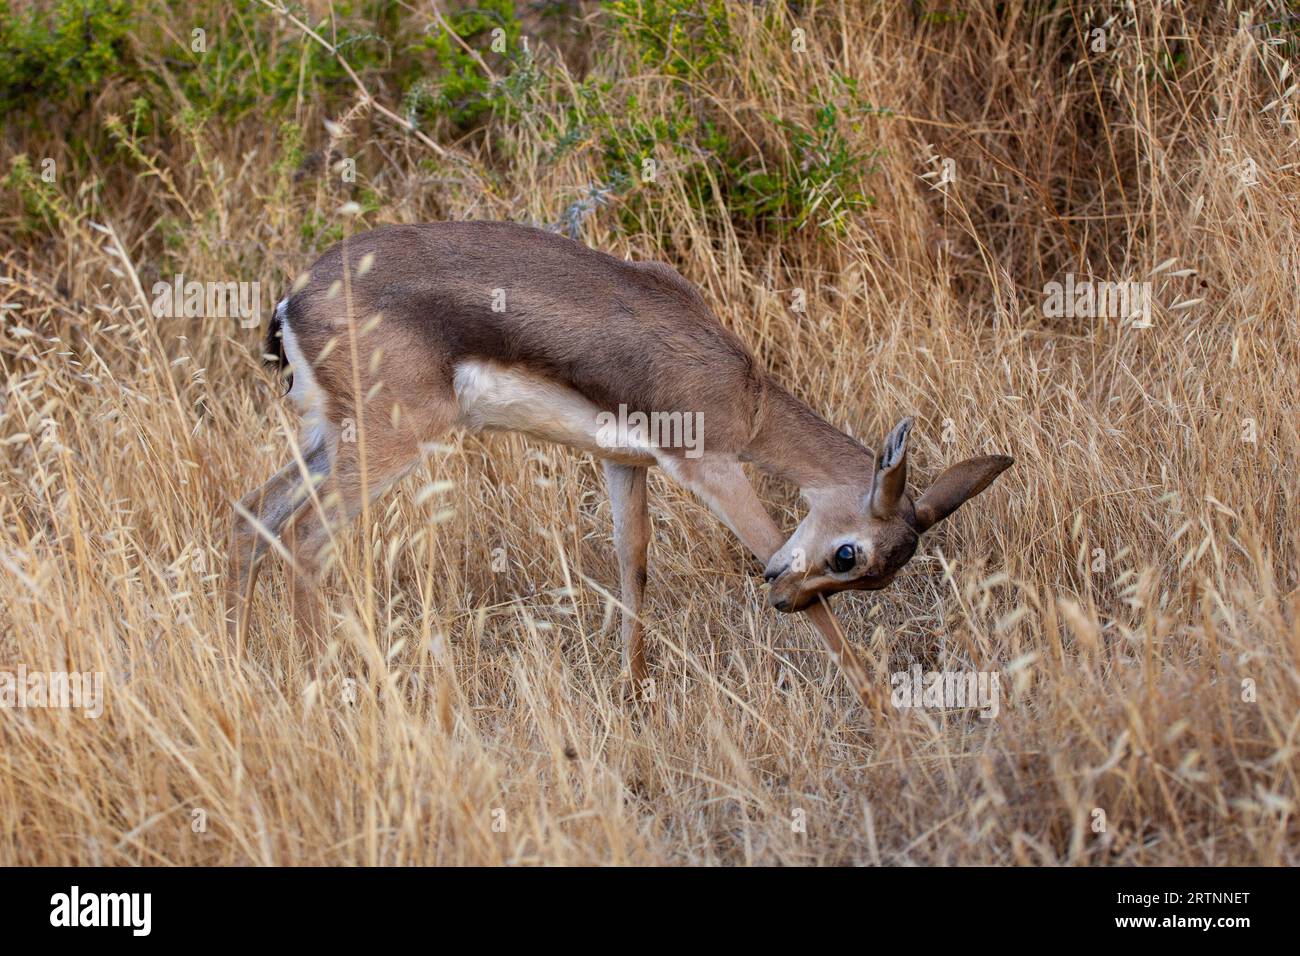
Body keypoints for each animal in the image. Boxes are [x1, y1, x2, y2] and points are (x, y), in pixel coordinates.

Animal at [226, 221, 1013, 701]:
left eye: (880, 576)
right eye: (851, 556)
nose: (780, 599)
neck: (746, 393)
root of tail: (294, 300)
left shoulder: (625, 464)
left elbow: (632, 563)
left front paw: (633, 688)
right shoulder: (709, 465)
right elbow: (760, 544)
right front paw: (877, 703)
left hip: (329, 440)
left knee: (251, 517)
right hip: (388, 442)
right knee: (306, 538)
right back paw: (324, 683)